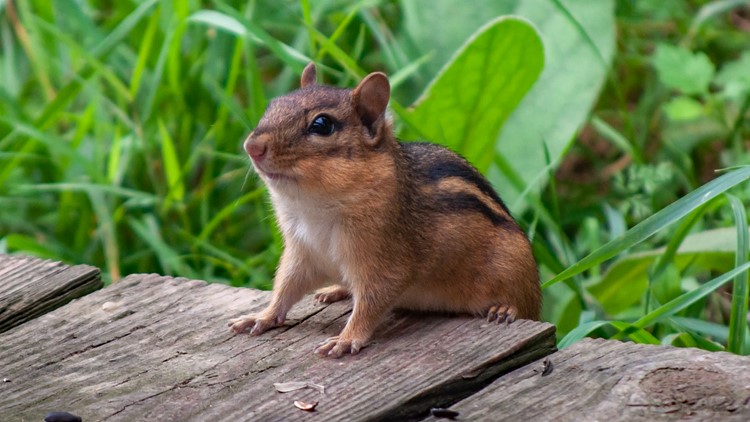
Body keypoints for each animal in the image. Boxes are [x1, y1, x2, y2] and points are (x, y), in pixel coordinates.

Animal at [229, 63, 541, 358]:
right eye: (272, 105)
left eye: (322, 124)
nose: (251, 146)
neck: (314, 208)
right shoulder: (301, 253)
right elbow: (285, 287)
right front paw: (261, 316)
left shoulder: (385, 262)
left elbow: (372, 302)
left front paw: (346, 339)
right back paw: (334, 290)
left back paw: (504, 309)